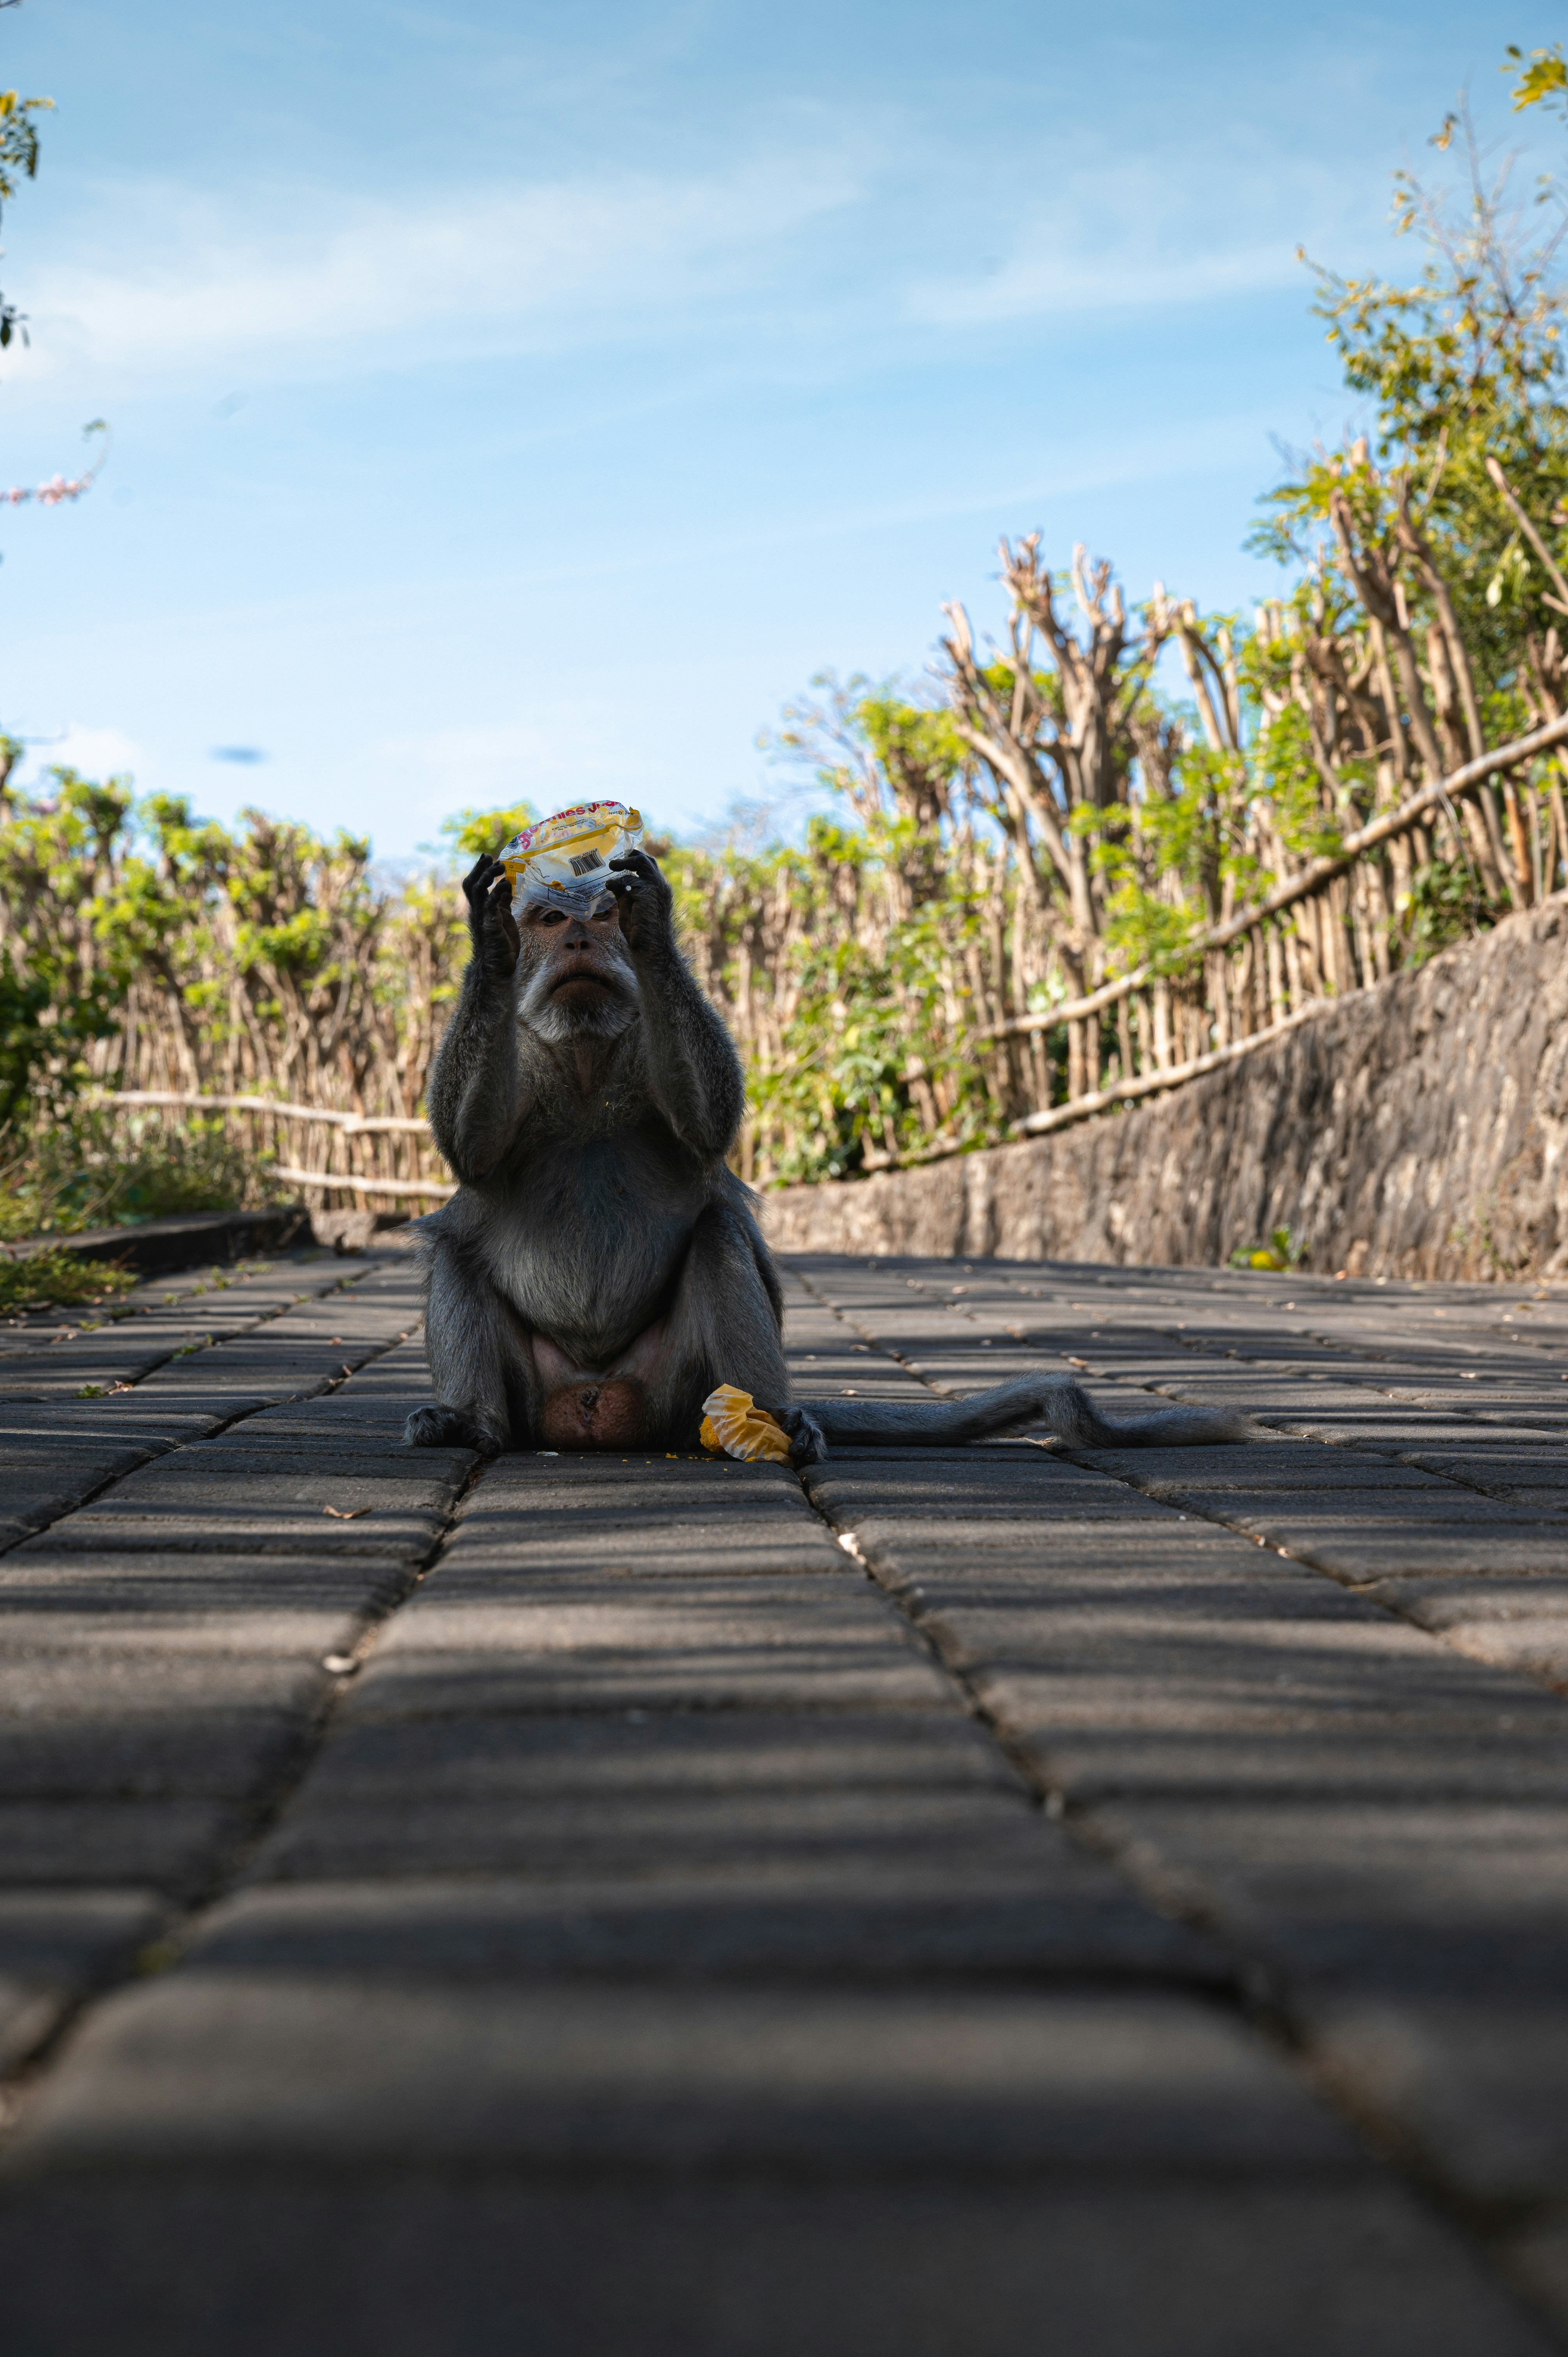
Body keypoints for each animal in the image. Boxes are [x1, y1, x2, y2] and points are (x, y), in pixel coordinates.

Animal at [403, 844, 1250, 1464]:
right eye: (549, 918)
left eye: (600, 916)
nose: (579, 936)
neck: (583, 1063)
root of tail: (591, 1406)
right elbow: (469, 1151)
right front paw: (489, 935)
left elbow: (710, 1127)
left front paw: (654, 919)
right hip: (538, 1393)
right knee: (453, 1252)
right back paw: (472, 1423)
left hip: (678, 1387)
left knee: (717, 1238)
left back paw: (773, 1420)